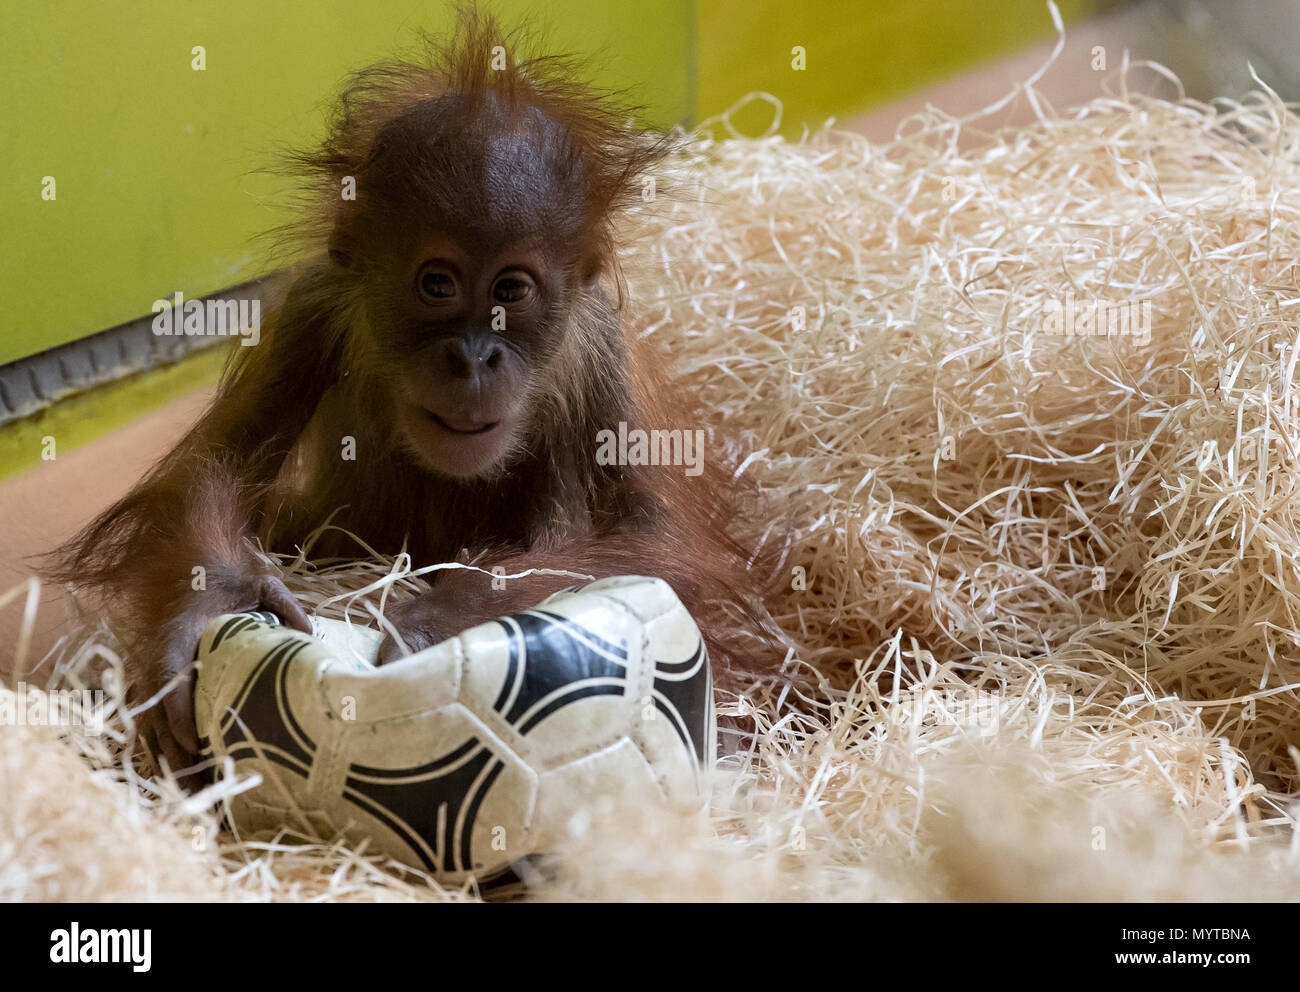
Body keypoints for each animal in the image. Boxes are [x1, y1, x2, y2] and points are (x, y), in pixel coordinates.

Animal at [48, 10, 776, 779]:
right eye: (437, 283)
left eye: (510, 290)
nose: (472, 357)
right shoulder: (310, 306)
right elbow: (215, 464)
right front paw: (209, 609)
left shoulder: (606, 351)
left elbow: (651, 536)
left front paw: (444, 612)